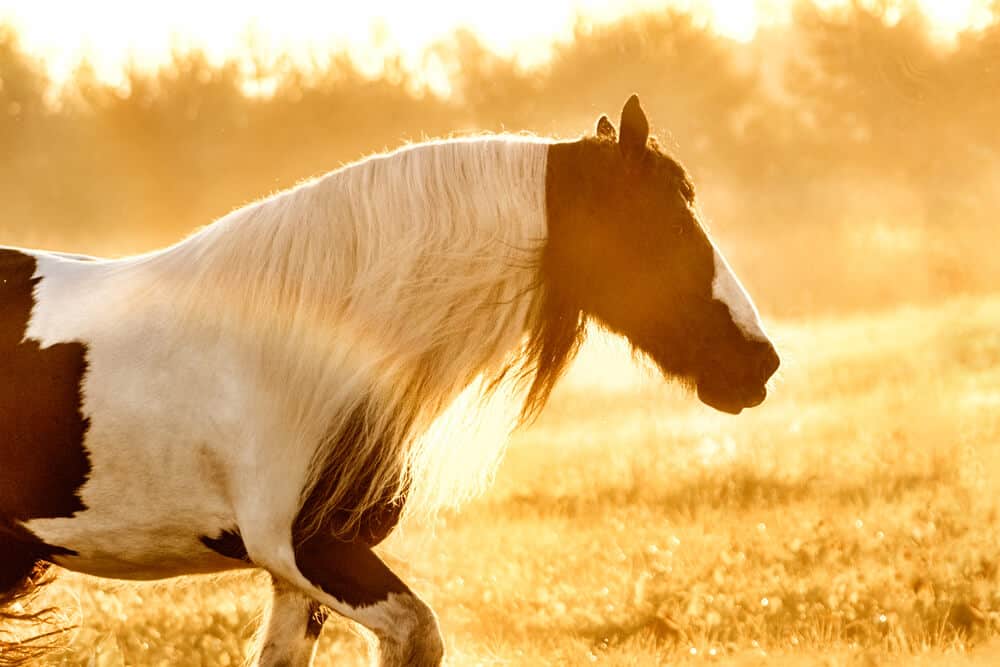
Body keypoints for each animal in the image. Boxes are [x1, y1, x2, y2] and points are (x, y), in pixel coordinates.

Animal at [0, 95, 779, 666]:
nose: (759, 363)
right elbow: (419, 633)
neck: (307, 337)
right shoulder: (305, 549)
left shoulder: (295, 575)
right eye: (664, 228)